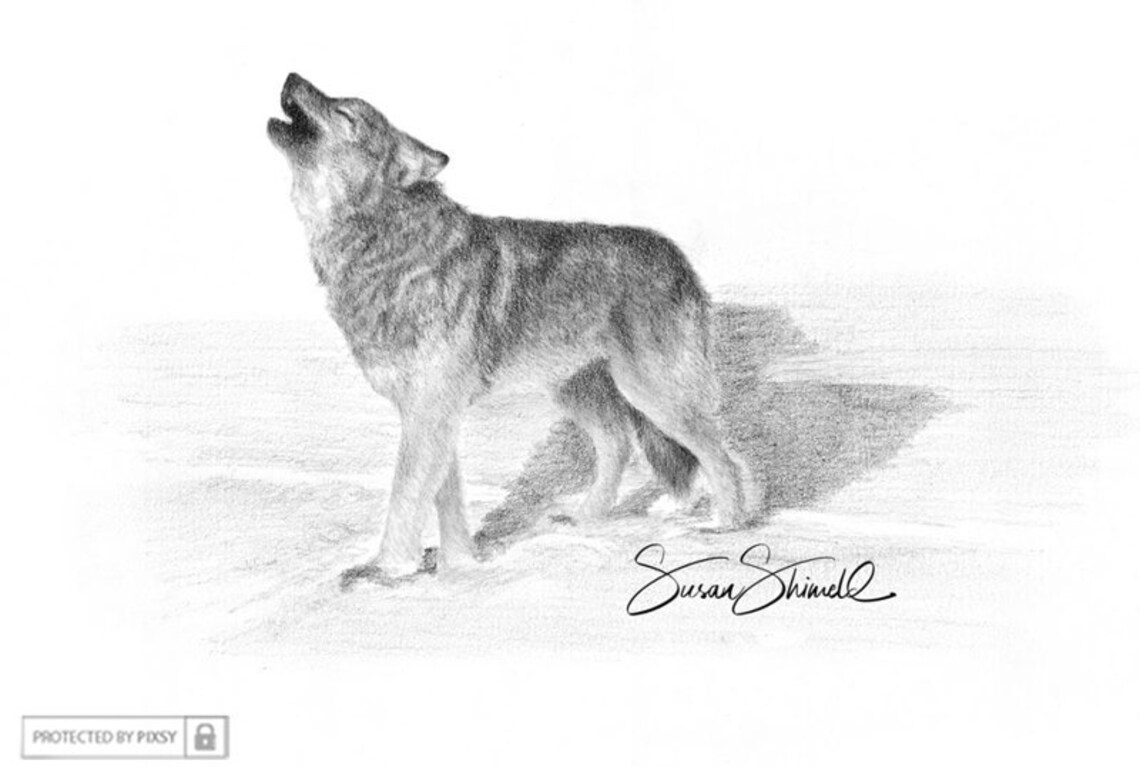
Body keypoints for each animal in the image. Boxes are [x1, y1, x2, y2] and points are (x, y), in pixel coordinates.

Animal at [268, 73, 755, 582]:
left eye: (345, 113)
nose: (291, 76)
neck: (387, 247)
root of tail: (677, 255)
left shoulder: (430, 411)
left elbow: (405, 495)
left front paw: (387, 570)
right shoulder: (432, 412)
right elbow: (443, 498)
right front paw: (460, 564)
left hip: (653, 392)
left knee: (717, 451)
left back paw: (726, 522)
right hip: (582, 392)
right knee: (620, 444)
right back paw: (592, 516)